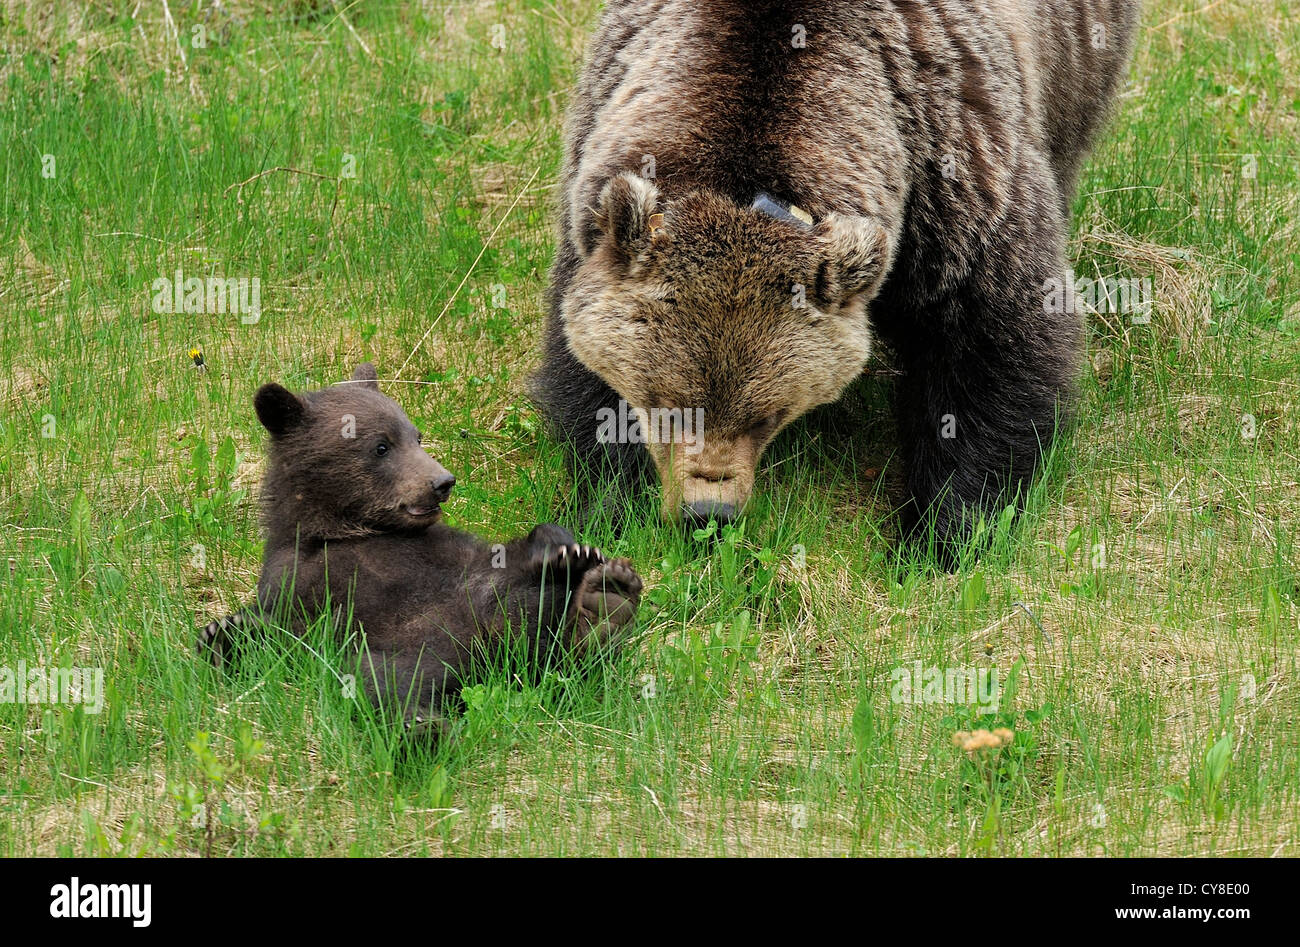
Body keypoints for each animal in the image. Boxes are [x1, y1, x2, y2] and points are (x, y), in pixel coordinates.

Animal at [198, 364, 643, 737]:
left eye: (417, 436)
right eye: (381, 446)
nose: (442, 481)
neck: (349, 531)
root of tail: (488, 662)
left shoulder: (449, 548)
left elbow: (515, 547)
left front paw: (565, 549)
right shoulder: (296, 579)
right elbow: (286, 630)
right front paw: (225, 634)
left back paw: (603, 603)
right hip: (407, 655)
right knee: (382, 682)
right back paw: (422, 729)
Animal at [532, 0, 1140, 559]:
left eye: (767, 416)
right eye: (666, 404)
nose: (710, 512)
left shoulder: (954, 178)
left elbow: (990, 348)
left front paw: (939, 538)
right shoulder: (598, 176)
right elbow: (583, 367)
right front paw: (612, 505)